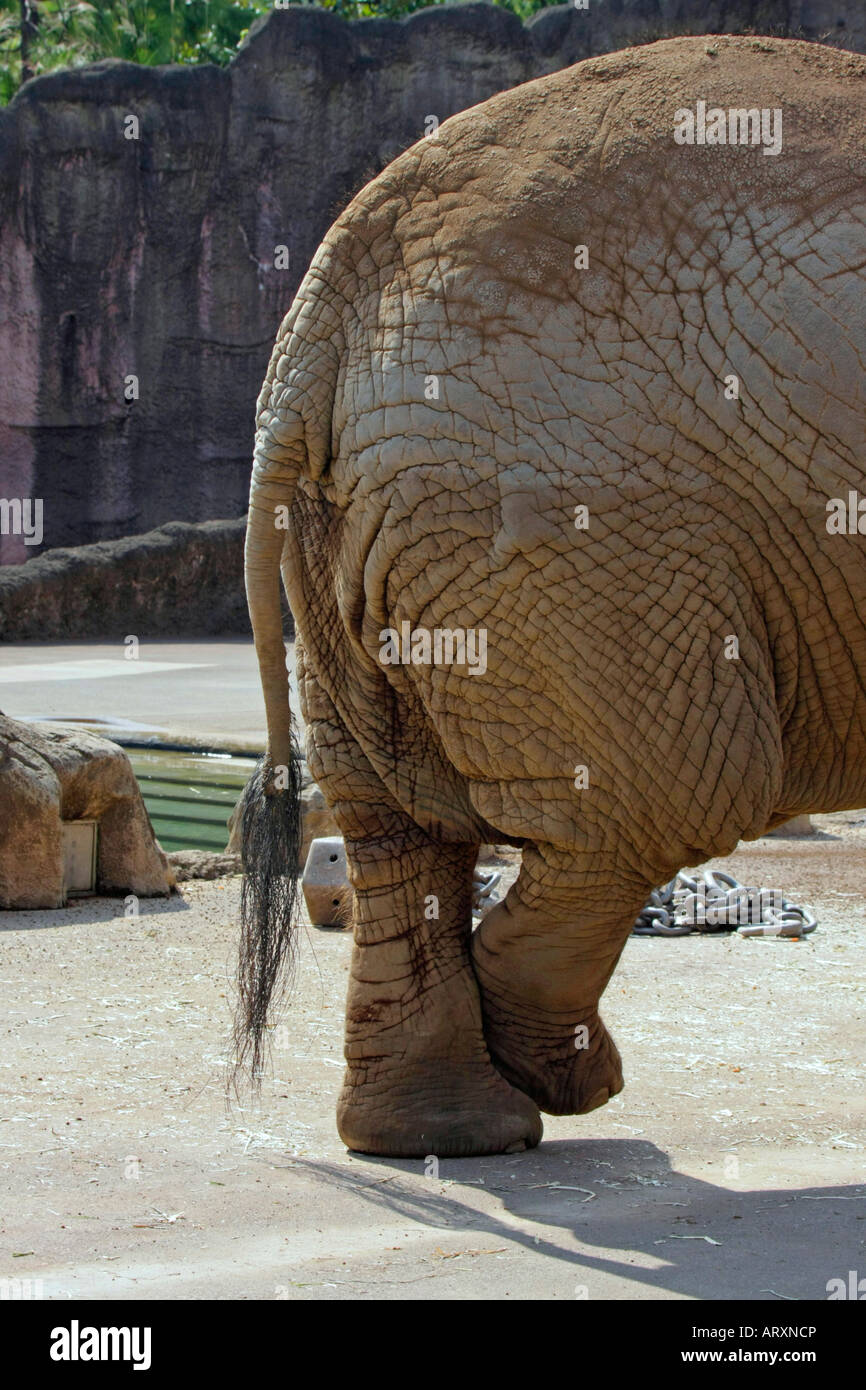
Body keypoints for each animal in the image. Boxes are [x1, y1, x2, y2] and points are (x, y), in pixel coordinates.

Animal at [234, 35, 866, 1158]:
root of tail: (320, 317)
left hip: (358, 523)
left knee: (396, 817)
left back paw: (446, 1132)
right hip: (575, 526)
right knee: (657, 801)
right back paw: (557, 1076)